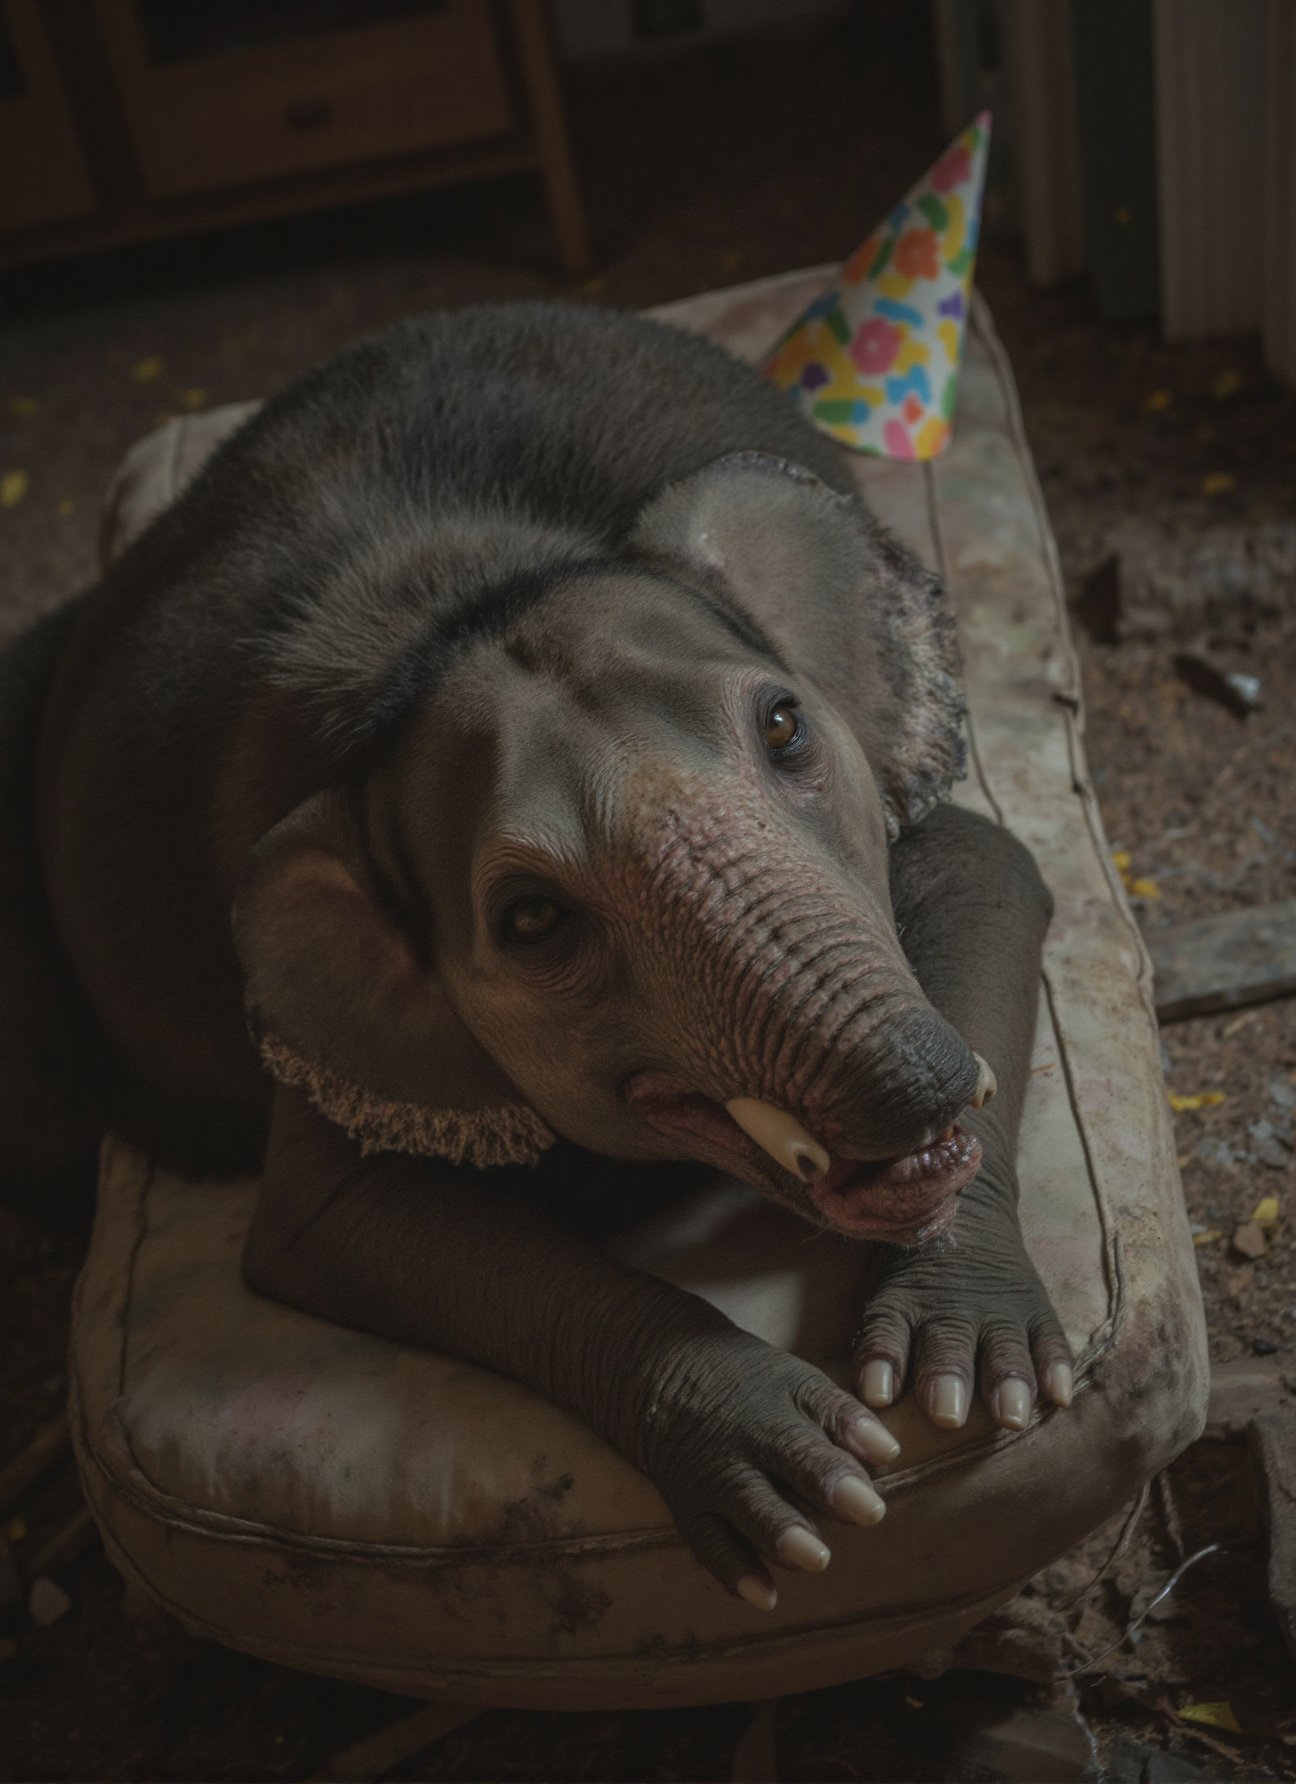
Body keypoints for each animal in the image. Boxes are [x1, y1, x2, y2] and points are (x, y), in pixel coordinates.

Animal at [5, 301, 1072, 1610]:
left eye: (783, 724)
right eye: (531, 920)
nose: (926, 1083)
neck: (455, 603)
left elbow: (990, 868)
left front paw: (965, 1357)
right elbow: (326, 1218)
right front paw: (795, 1463)